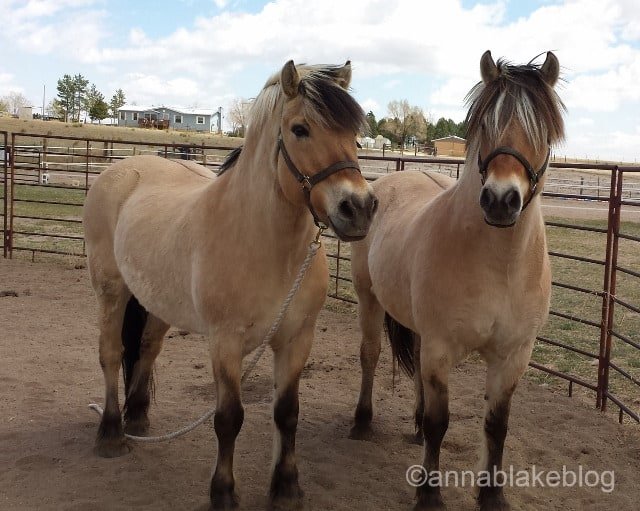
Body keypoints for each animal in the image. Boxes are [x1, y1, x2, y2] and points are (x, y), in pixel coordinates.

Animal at [83, 60, 377, 510]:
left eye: (355, 136)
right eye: (300, 129)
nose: (358, 208)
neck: (266, 243)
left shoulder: (297, 339)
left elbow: (287, 412)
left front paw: (286, 488)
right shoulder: (225, 341)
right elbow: (228, 418)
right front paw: (223, 492)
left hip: (157, 302)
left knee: (146, 348)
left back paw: (139, 418)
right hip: (111, 292)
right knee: (112, 354)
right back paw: (112, 434)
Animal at [349, 50, 565, 510]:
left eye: (542, 131)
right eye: (485, 125)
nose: (501, 200)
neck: (500, 266)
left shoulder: (512, 356)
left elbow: (496, 426)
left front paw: (492, 495)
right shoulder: (442, 347)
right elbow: (440, 423)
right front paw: (429, 494)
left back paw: (411, 427)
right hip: (369, 299)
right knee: (371, 356)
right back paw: (361, 422)